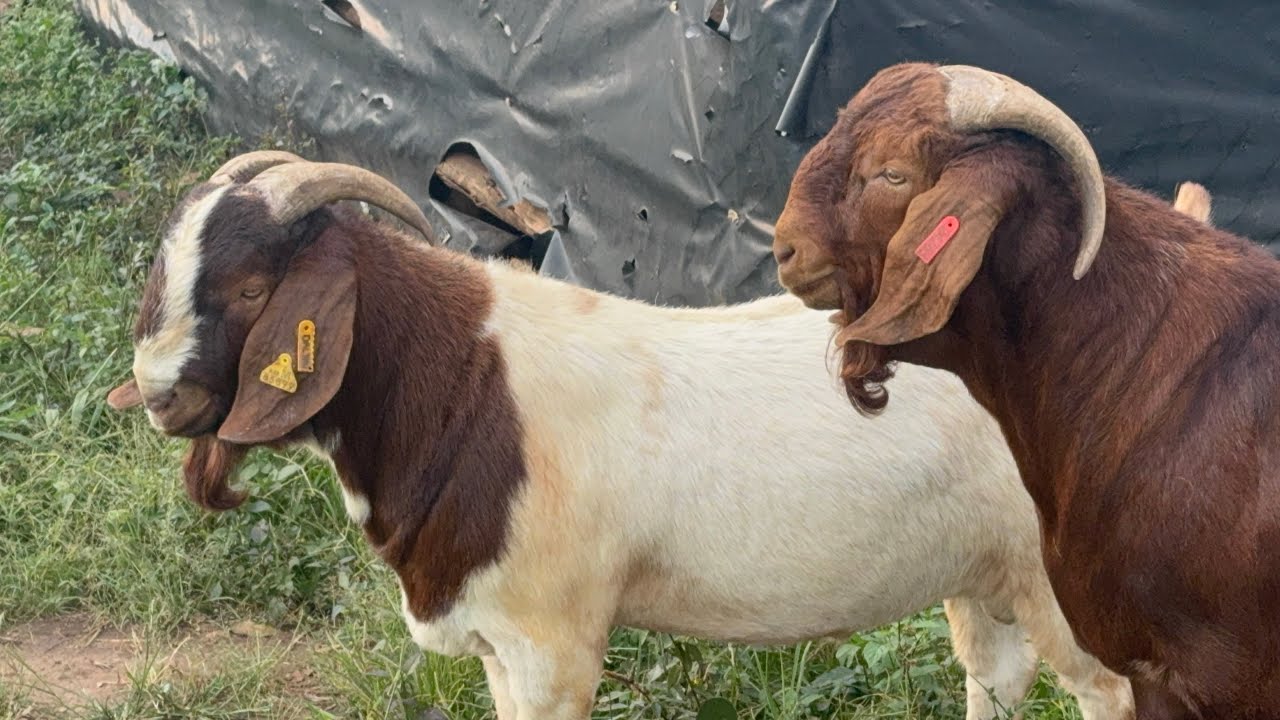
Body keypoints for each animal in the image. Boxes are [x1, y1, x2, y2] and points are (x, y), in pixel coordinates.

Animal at [105, 151, 1133, 719]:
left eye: (250, 290)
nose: (157, 397)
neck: (468, 388)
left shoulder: (551, 642)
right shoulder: (497, 643)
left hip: (1068, 588)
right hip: (984, 574)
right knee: (995, 678)